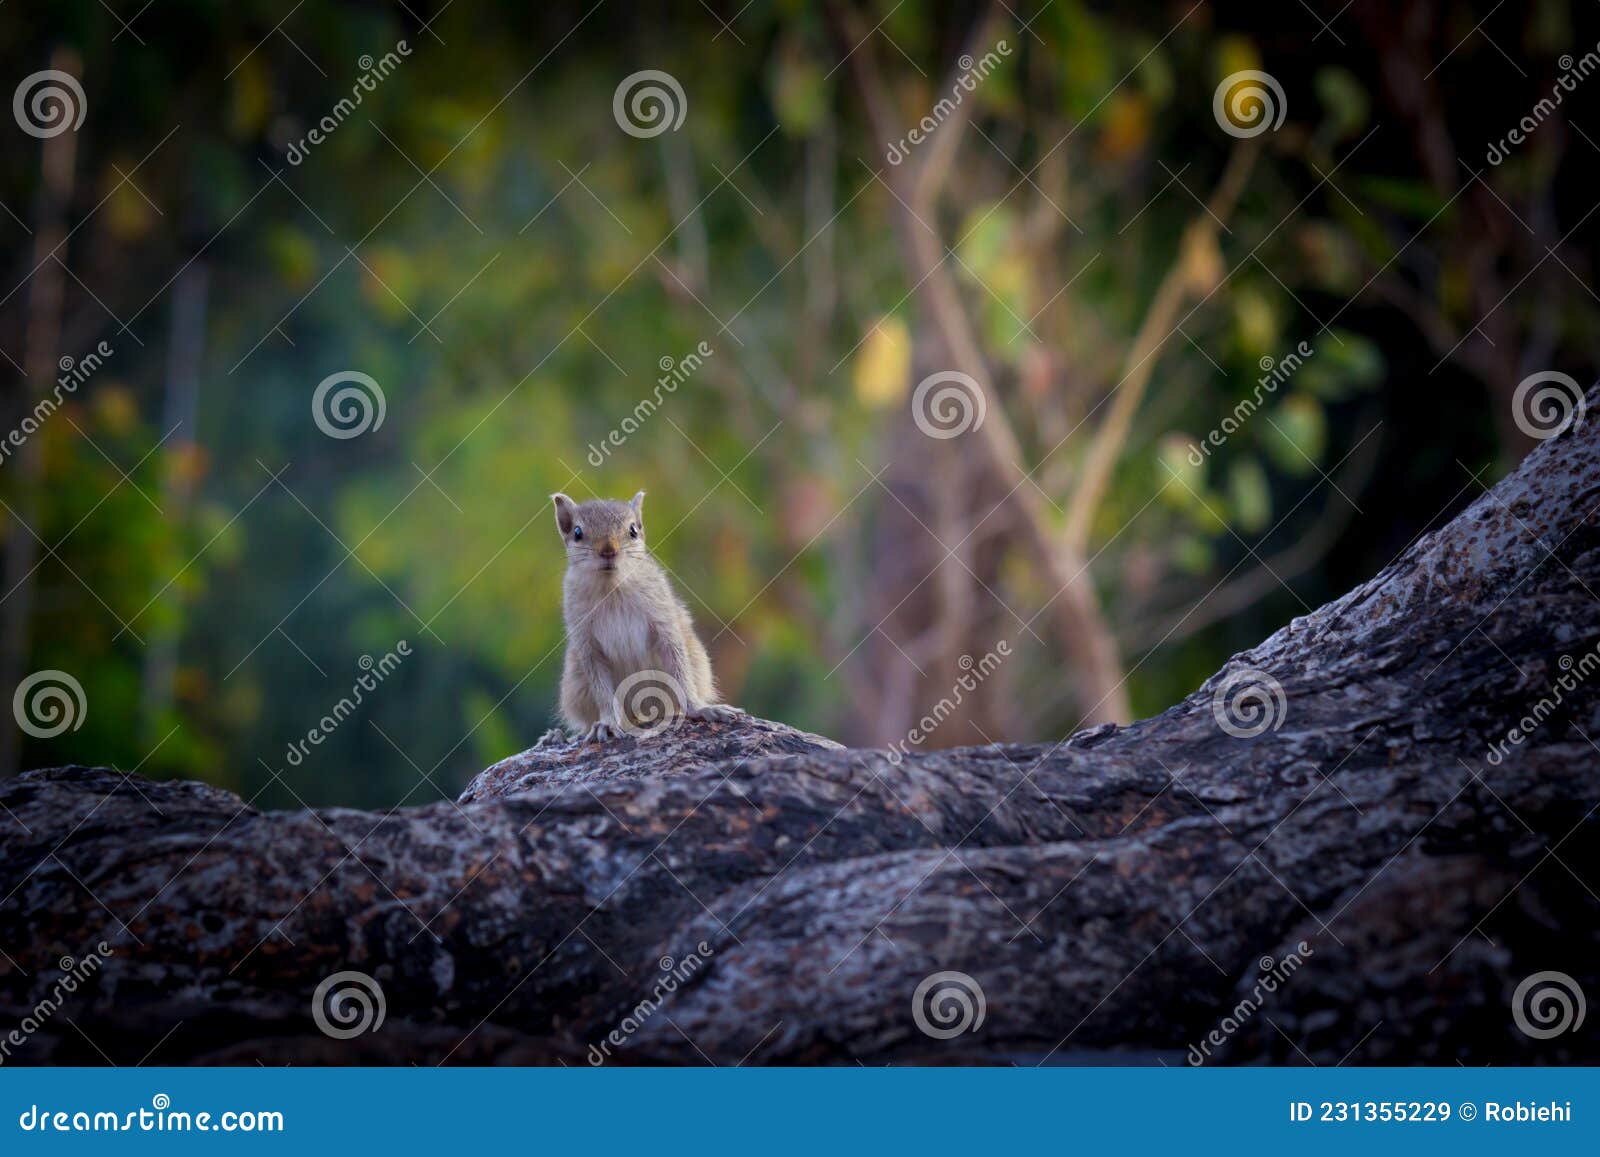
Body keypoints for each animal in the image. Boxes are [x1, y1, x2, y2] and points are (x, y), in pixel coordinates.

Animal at [538, 490, 742, 744]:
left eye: (633, 530)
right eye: (577, 532)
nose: (608, 550)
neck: (611, 587)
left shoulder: (663, 622)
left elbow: (680, 669)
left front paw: (700, 708)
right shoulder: (587, 642)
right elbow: (602, 690)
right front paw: (607, 723)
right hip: (576, 687)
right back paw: (559, 737)